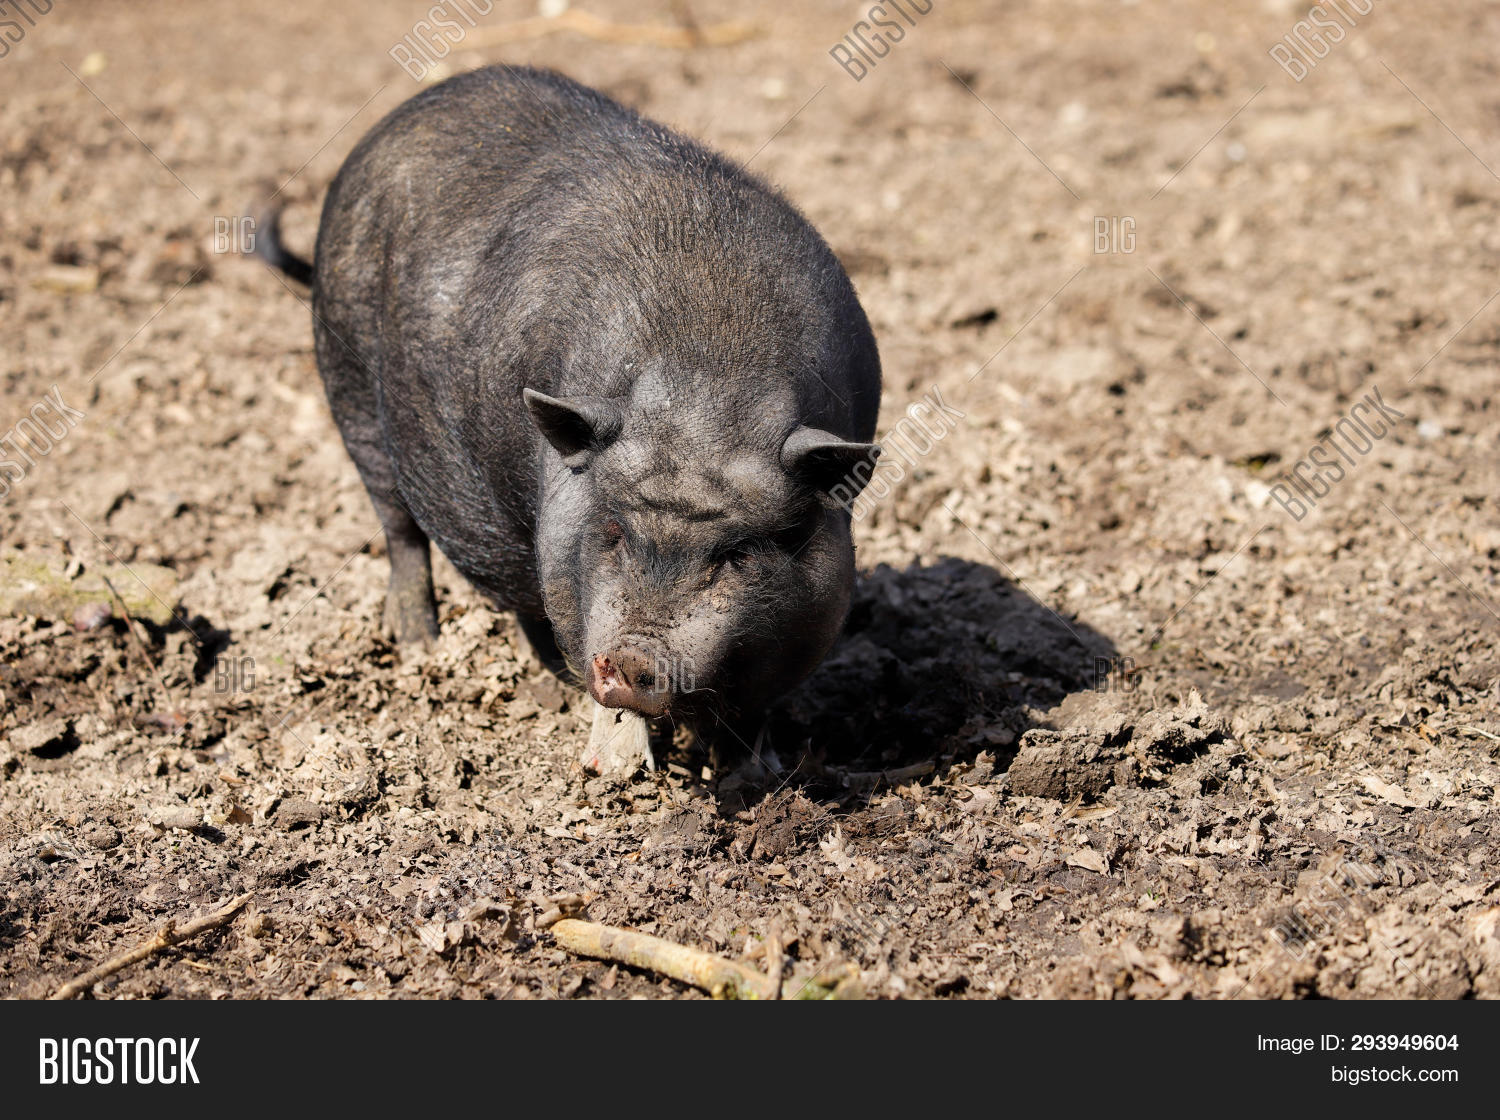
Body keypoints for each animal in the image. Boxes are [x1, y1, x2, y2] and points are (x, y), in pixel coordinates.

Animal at [259, 66, 881, 752]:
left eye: (739, 556)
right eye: (612, 531)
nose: (633, 657)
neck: (712, 374)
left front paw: (751, 761)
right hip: (344, 376)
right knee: (397, 522)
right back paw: (417, 641)